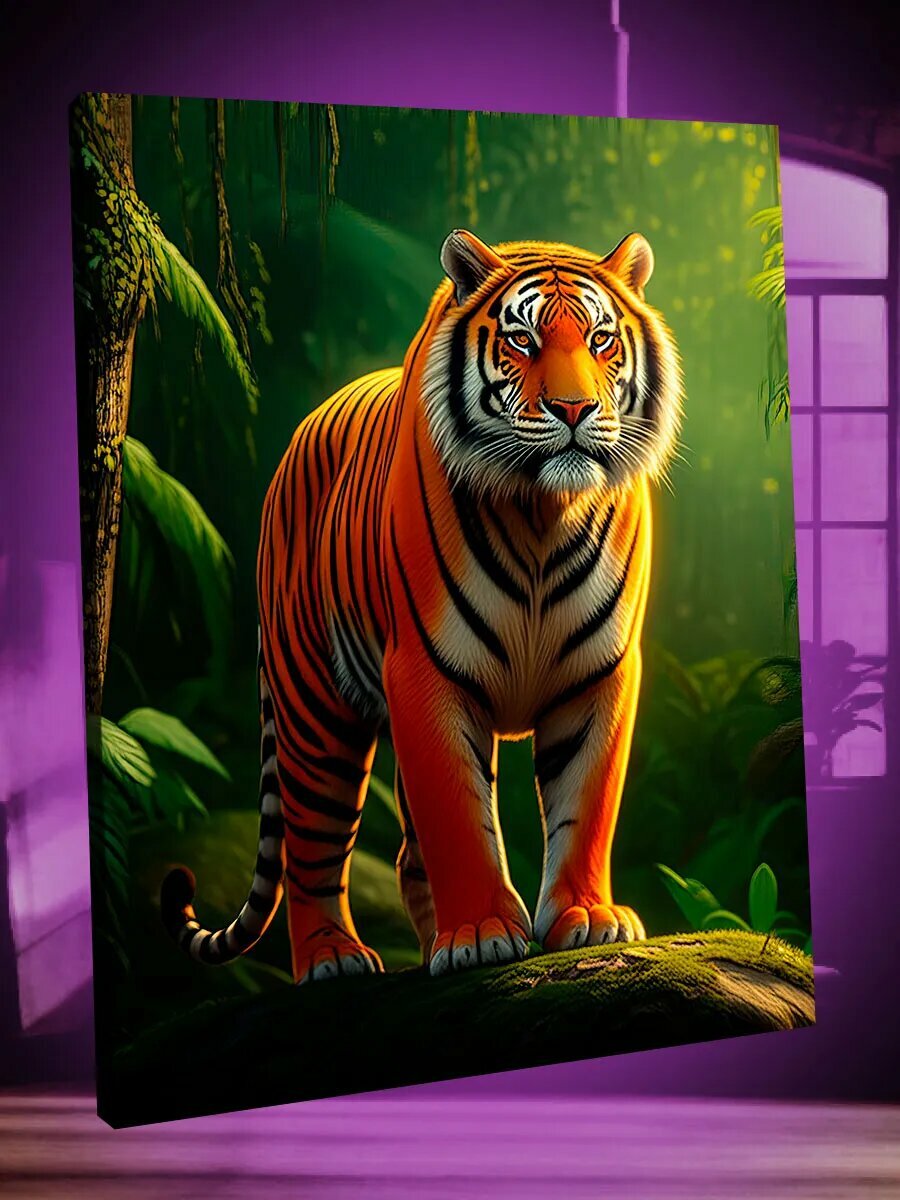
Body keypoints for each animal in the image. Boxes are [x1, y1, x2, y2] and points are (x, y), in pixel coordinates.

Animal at [161, 228, 683, 984]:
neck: (542, 512)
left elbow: (585, 804)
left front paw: (586, 918)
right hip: (314, 709)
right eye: (522, 339)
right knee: (311, 848)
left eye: (602, 339)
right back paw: (334, 957)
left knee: (406, 854)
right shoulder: (424, 671)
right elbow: (458, 818)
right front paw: (481, 934)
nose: (575, 410)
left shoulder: (600, 673)